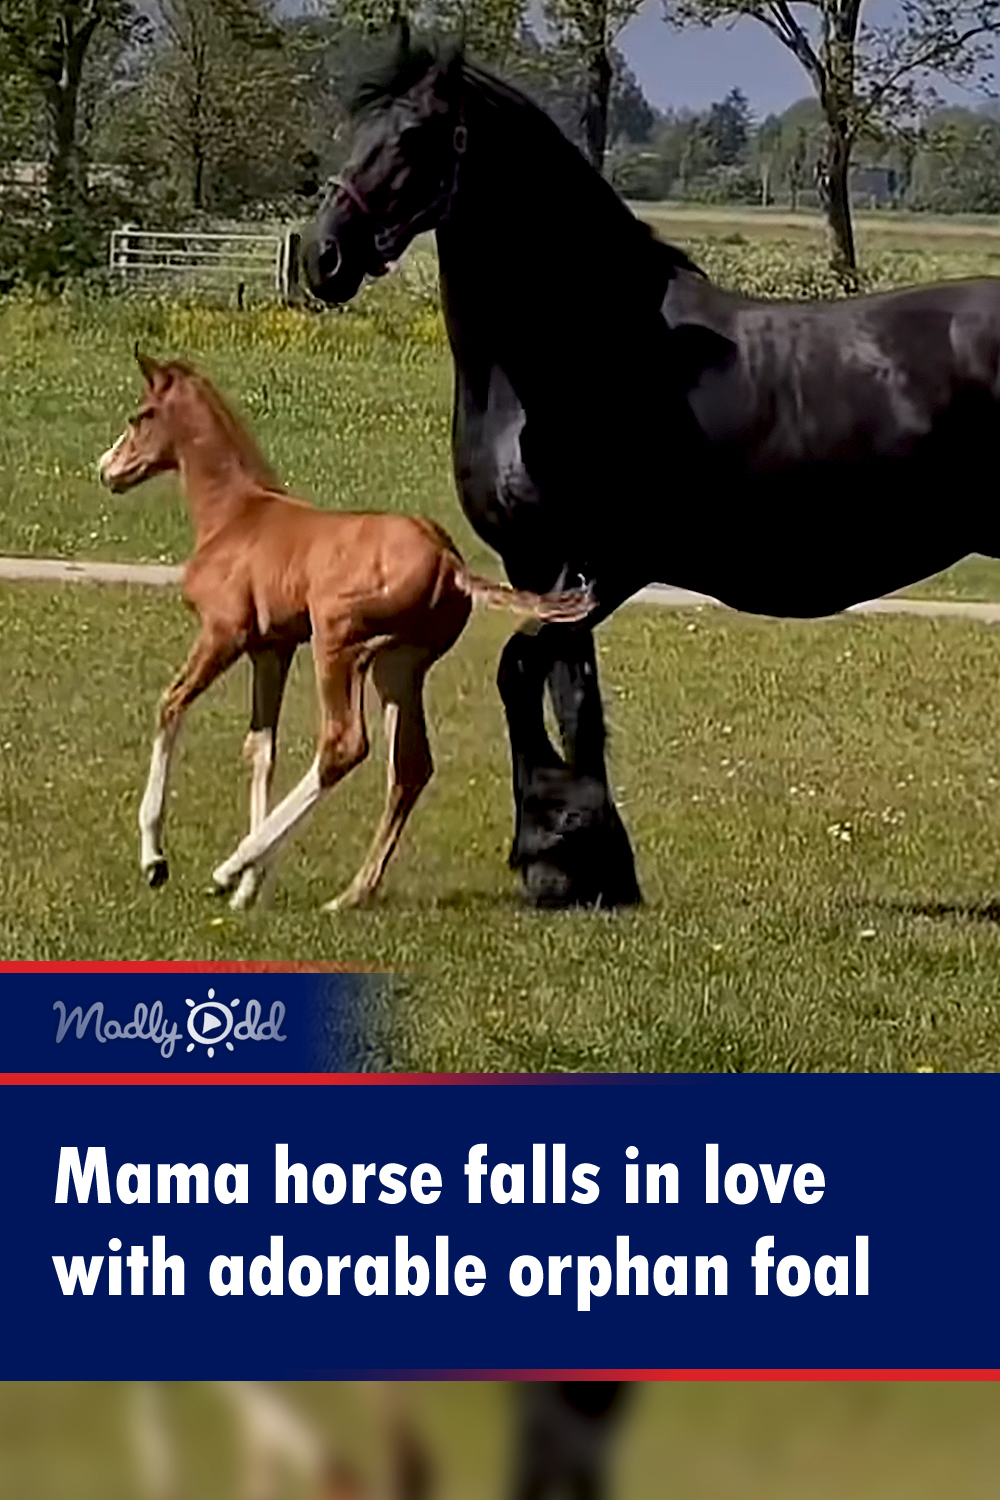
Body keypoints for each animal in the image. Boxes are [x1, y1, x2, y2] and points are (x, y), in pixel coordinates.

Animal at [98, 352, 593, 912]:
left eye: (140, 416)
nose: (107, 469)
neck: (235, 517)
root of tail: (449, 562)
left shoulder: (225, 634)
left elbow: (170, 704)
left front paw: (159, 862)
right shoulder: (272, 649)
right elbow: (261, 750)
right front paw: (249, 889)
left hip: (339, 642)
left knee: (343, 744)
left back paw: (229, 867)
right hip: (400, 666)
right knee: (410, 766)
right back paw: (349, 893)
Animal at [303, 31, 1000, 910]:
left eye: (416, 137)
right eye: (355, 127)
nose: (321, 256)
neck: (585, 350)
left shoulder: (608, 565)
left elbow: (519, 670)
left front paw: (555, 845)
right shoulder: (537, 565)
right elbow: (571, 696)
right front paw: (590, 866)